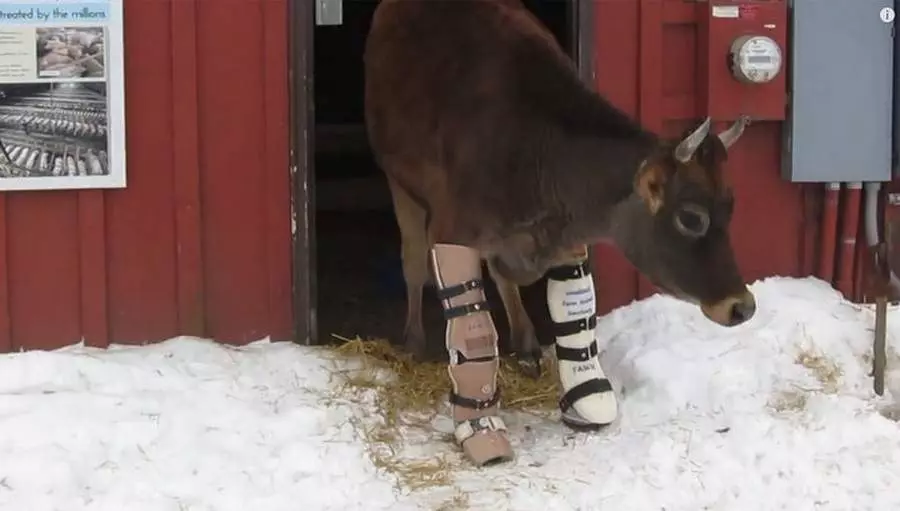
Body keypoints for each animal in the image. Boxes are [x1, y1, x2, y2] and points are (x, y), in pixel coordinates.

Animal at [362, 0, 756, 466]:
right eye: (690, 218)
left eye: (731, 207)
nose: (743, 306)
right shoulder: (452, 225)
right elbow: (470, 320)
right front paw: (479, 423)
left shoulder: (567, 236)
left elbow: (574, 311)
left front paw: (586, 395)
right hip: (398, 181)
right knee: (413, 260)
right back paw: (415, 338)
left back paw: (527, 343)